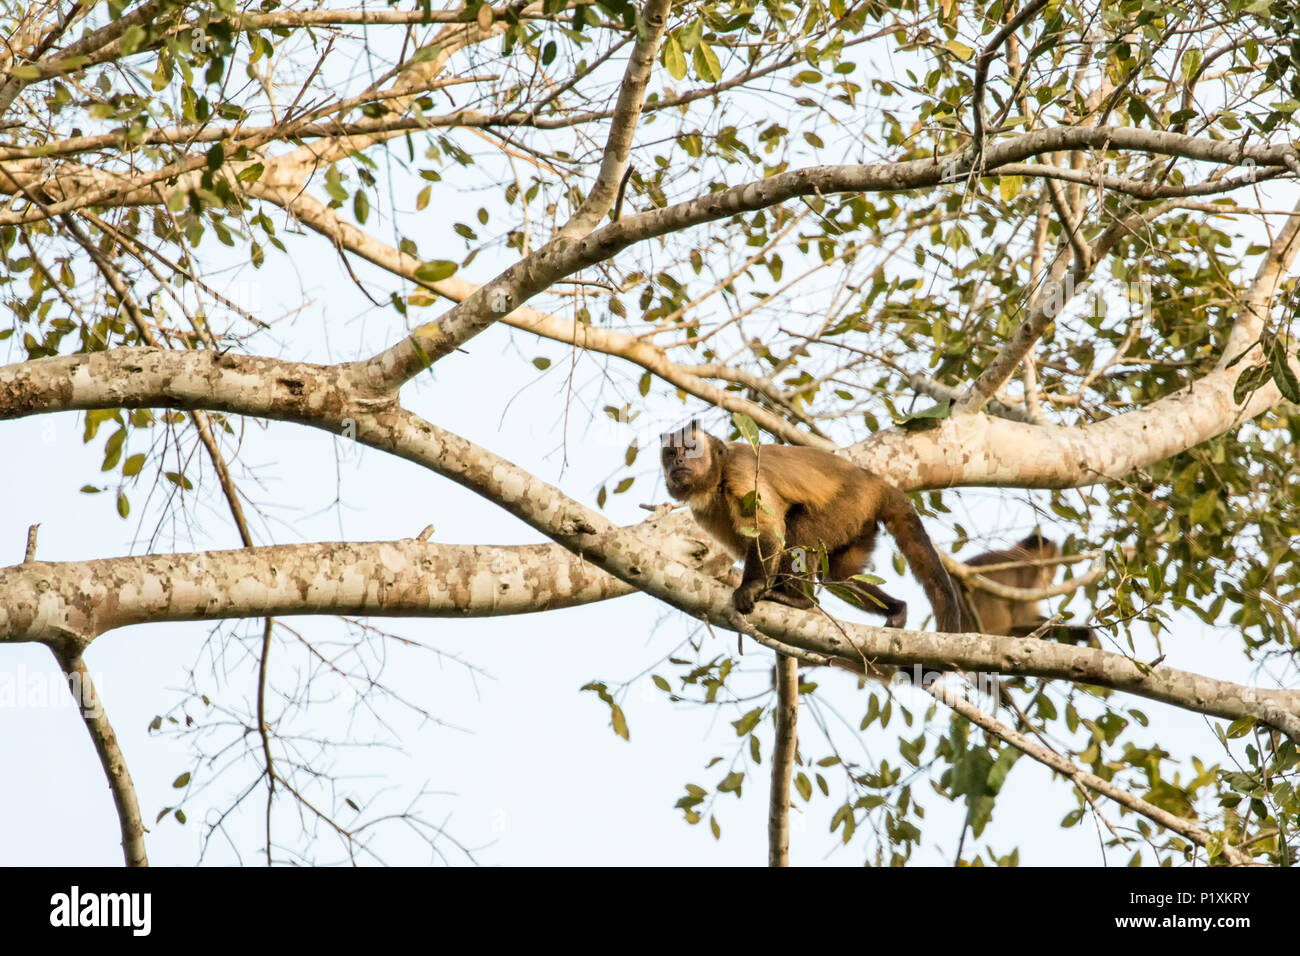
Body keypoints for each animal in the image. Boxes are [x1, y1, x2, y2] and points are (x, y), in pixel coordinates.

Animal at [659, 420, 968, 633]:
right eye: (671, 453)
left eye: (691, 449)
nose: (679, 460)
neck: (718, 478)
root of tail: (877, 484)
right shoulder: (704, 512)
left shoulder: (741, 471)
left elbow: (769, 532)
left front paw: (753, 586)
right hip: (860, 524)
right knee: (840, 578)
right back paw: (897, 608)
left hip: (849, 504)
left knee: (800, 530)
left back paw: (799, 601)